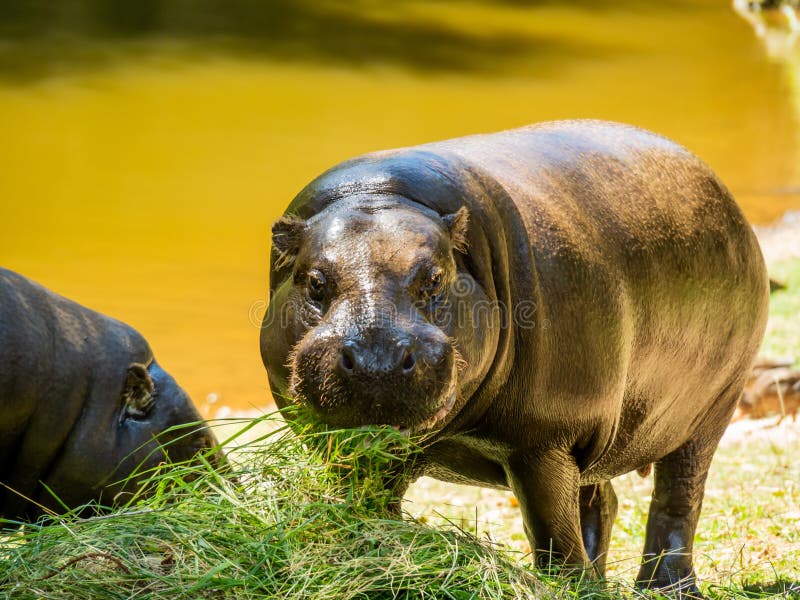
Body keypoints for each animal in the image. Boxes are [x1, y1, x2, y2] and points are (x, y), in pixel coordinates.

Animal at [260, 120, 769, 597]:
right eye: (314, 281)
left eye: (434, 278)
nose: (377, 358)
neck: (379, 196)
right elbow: (363, 499)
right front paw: (367, 548)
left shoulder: (543, 440)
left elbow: (552, 532)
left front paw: (568, 587)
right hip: (597, 431)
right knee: (600, 500)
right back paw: (604, 581)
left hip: (709, 411)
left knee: (676, 500)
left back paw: (665, 588)